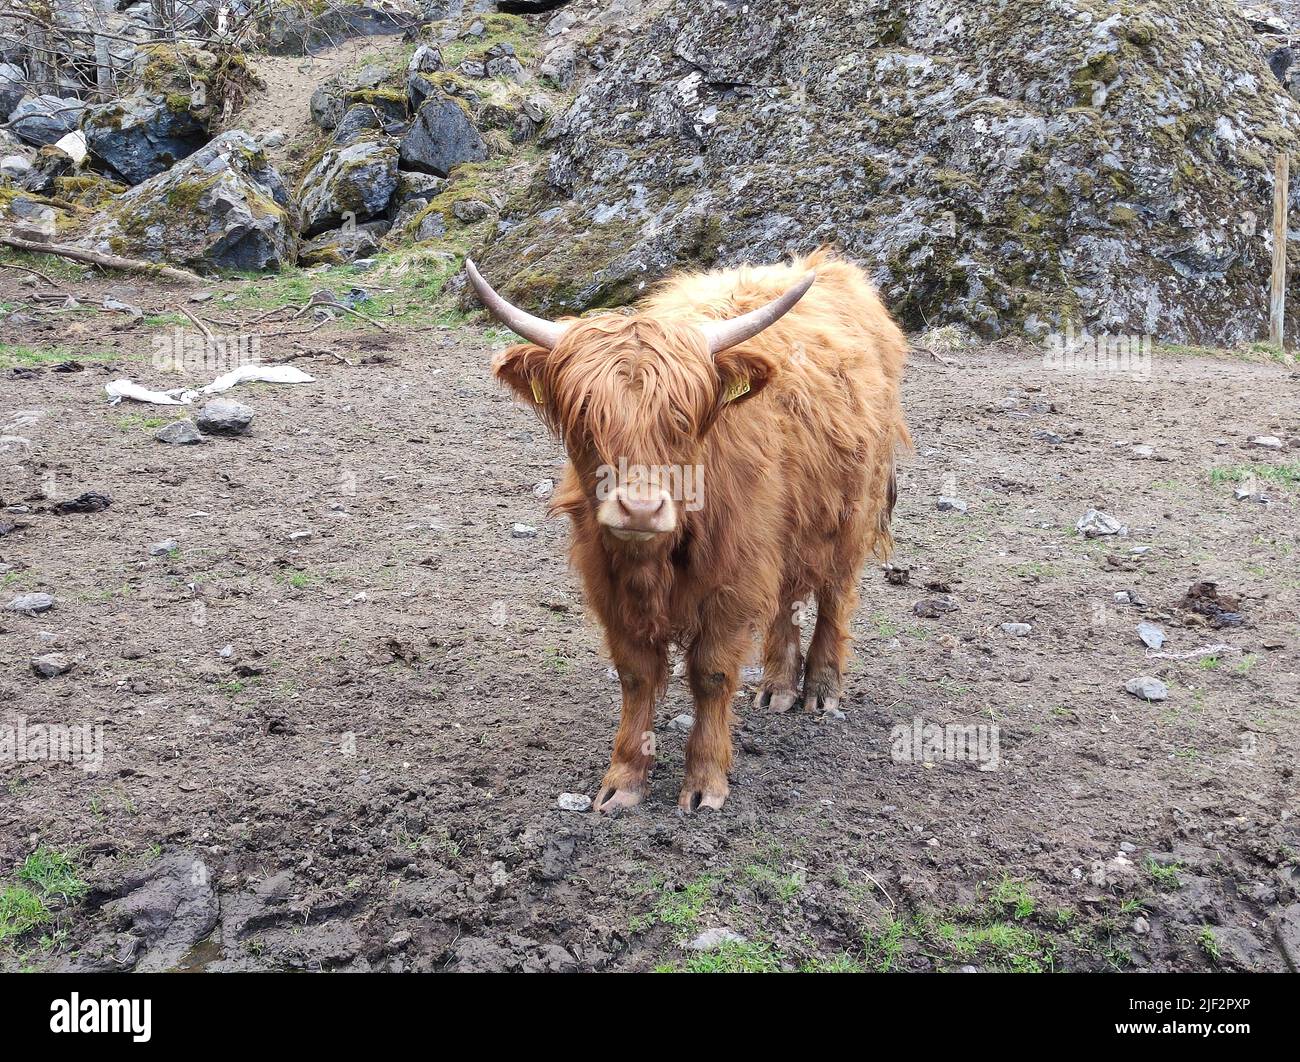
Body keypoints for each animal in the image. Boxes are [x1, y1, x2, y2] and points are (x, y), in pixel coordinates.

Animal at [466, 249, 909, 813]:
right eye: (587, 419)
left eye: (680, 420)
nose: (638, 509)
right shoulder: (608, 581)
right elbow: (635, 675)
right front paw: (625, 778)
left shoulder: (735, 576)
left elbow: (712, 674)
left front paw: (705, 782)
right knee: (788, 598)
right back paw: (778, 687)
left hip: (849, 514)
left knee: (835, 595)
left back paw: (819, 690)